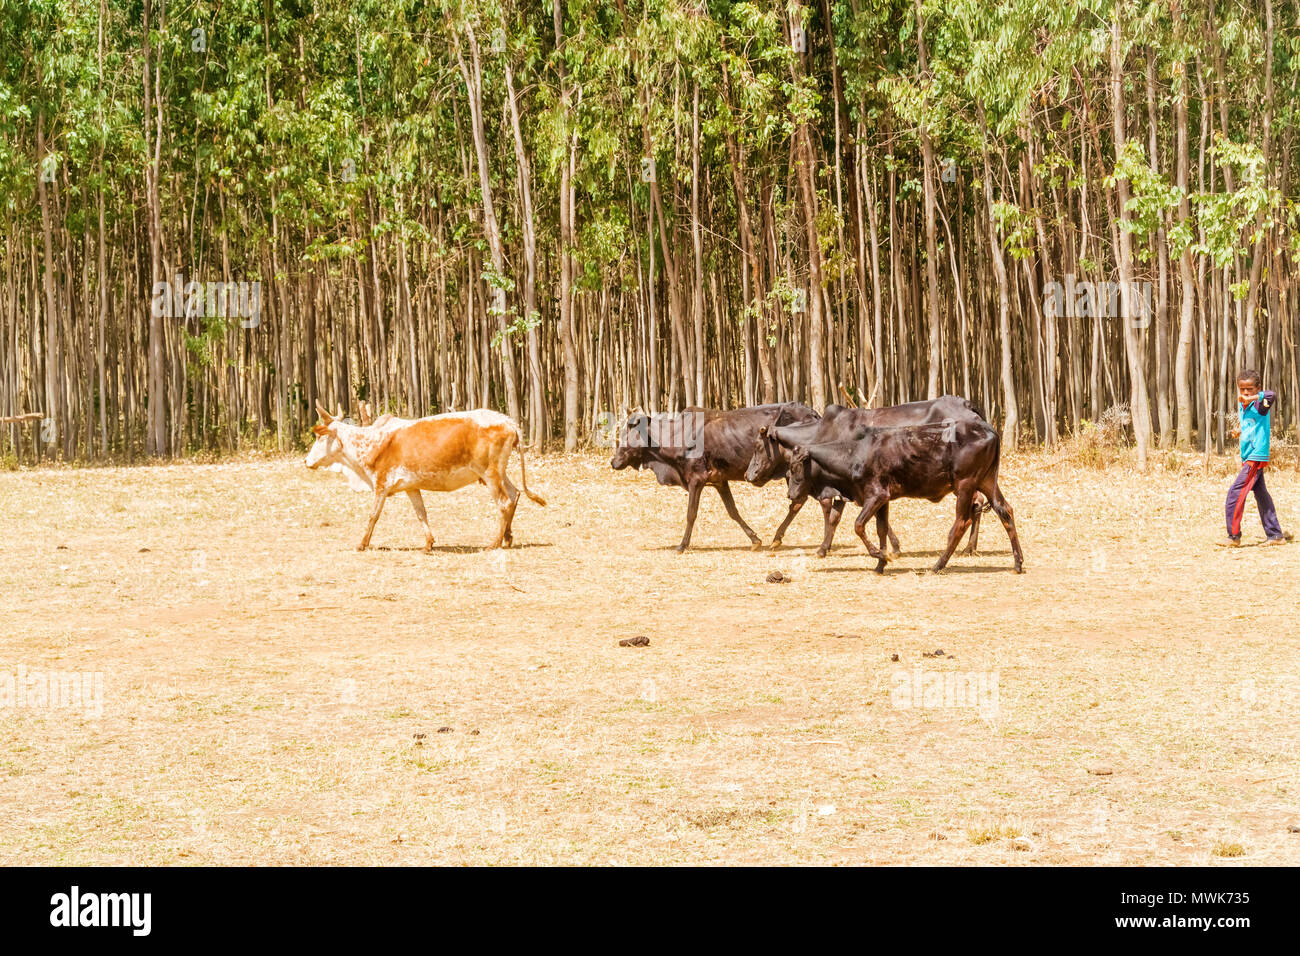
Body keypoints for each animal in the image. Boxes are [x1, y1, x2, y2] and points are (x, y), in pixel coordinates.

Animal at [306, 404, 545, 551]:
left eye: (319, 437)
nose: (307, 461)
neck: (371, 443)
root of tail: (508, 421)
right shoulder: (411, 487)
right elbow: (421, 513)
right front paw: (429, 543)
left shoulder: (382, 485)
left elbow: (373, 516)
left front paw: (361, 544)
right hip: (498, 473)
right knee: (514, 495)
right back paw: (508, 537)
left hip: (490, 474)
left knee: (504, 502)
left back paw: (494, 542)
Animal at [610, 403, 821, 553]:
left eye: (627, 434)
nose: (614, 461)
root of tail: (814, 413)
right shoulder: (720, 481)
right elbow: (732, 511)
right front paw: (754, 540)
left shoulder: (696, 479)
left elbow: (691, 514)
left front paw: (682, 545)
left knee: (798, 501)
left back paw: (777, 538)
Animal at [746, 396, 993, 556]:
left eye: (758, 446)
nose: (749, 475)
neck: (821, 433)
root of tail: (968, 405)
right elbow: (837, 517)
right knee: (979, 503)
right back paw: (969, 547)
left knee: (975, 505)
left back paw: (967, 547)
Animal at [783, 417, 1023, 574]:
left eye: (794, 468)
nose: (790, 494)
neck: (855, 454)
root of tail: (988, 429)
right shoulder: (883, 500)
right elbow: (881, 529)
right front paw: (880, 565)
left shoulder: (876, 496)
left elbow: (858, 526)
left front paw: (883, 556)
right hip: (987, 481)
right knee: (1005, 511)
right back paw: (1018, 563)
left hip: (966, 485)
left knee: (961, 523)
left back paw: (938, 565)